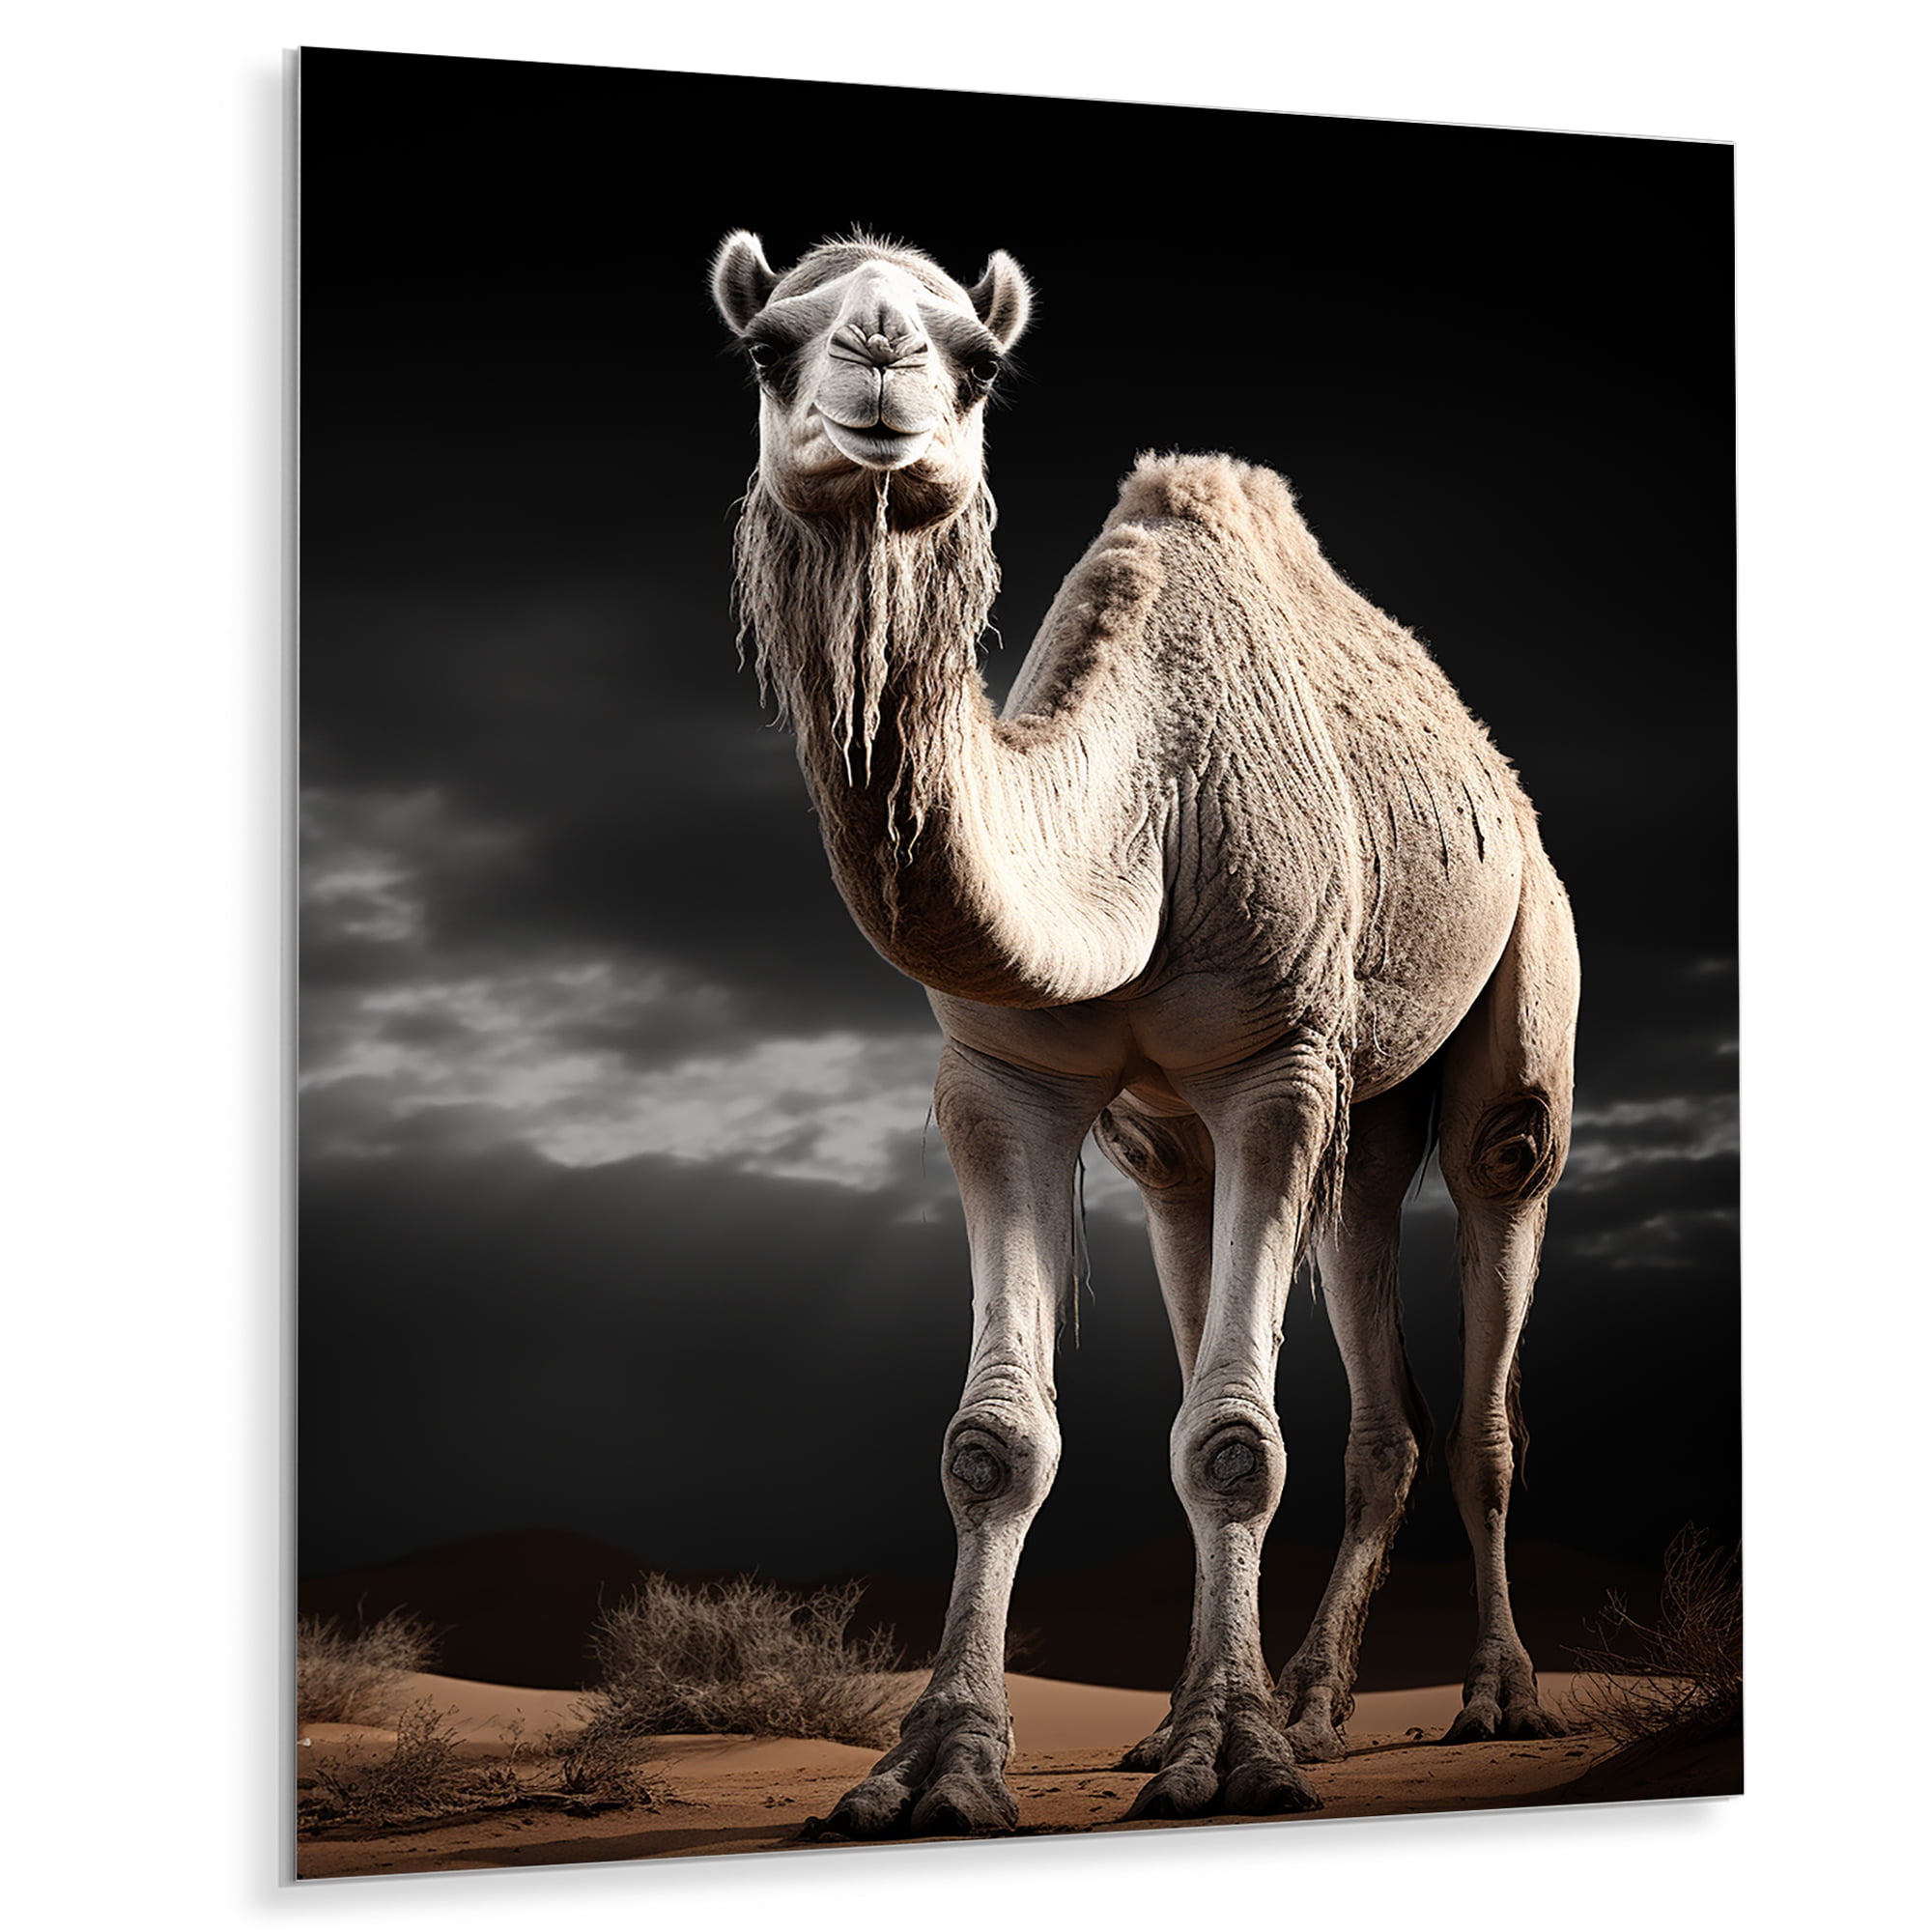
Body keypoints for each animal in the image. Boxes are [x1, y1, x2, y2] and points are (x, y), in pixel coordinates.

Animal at [711, 230, 1580, 1836]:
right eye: (765, 343)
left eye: (978, 359)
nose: (880, 362)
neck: (1138, 806)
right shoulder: (1002, 1080)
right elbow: (995, 1442)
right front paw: (932, 1771)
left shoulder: (1276, 1064)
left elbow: (1233, 1443)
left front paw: (1232, 1762)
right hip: (1253, 1125)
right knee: (1361, 1320)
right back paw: (1301, 1706)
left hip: (1517, 986)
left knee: (1495, 1257)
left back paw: (1494, 1700)